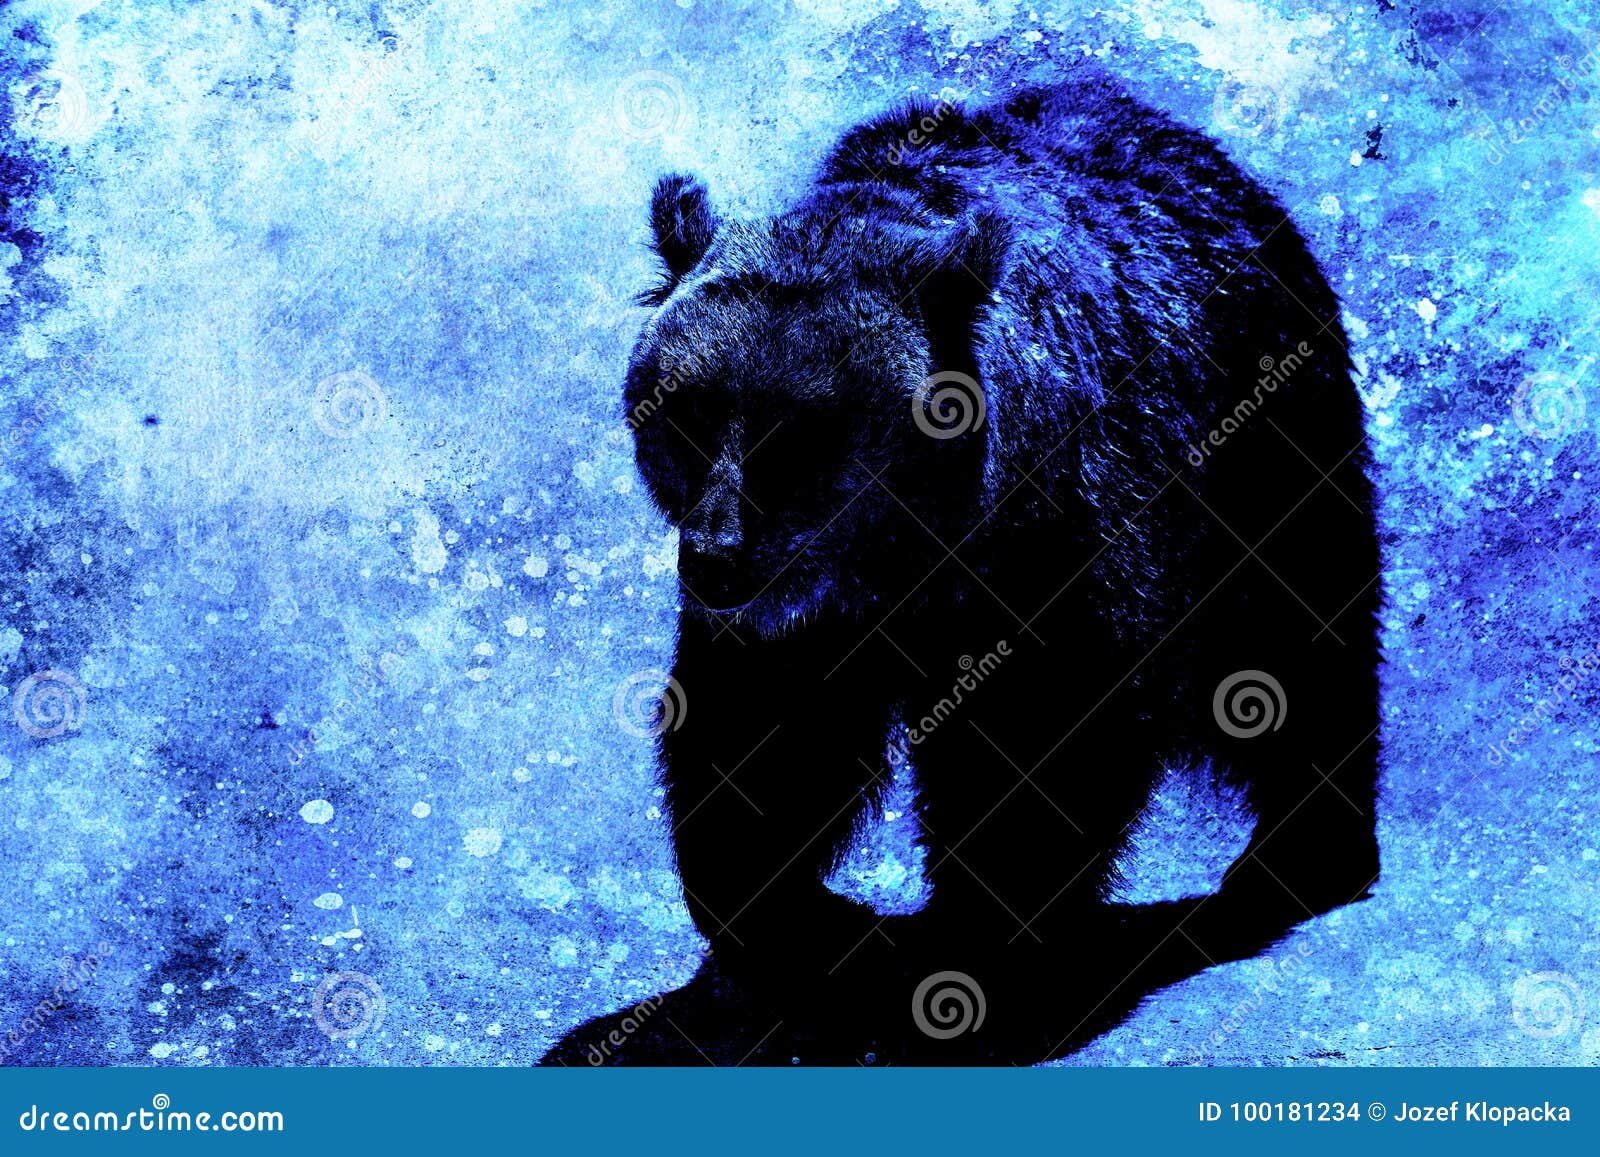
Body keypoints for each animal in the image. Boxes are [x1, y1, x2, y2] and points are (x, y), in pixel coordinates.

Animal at [620, 69, 1381, 1008]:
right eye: (686, 415)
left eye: (799, 437)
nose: (717, 560)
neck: (912, 555)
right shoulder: (798, 622)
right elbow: (759, 737)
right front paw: (793, 916)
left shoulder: (1060, 546)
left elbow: (1039, 741)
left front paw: (983, 928)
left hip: (1265, 440)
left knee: (1298, 629)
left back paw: (1307, 844)